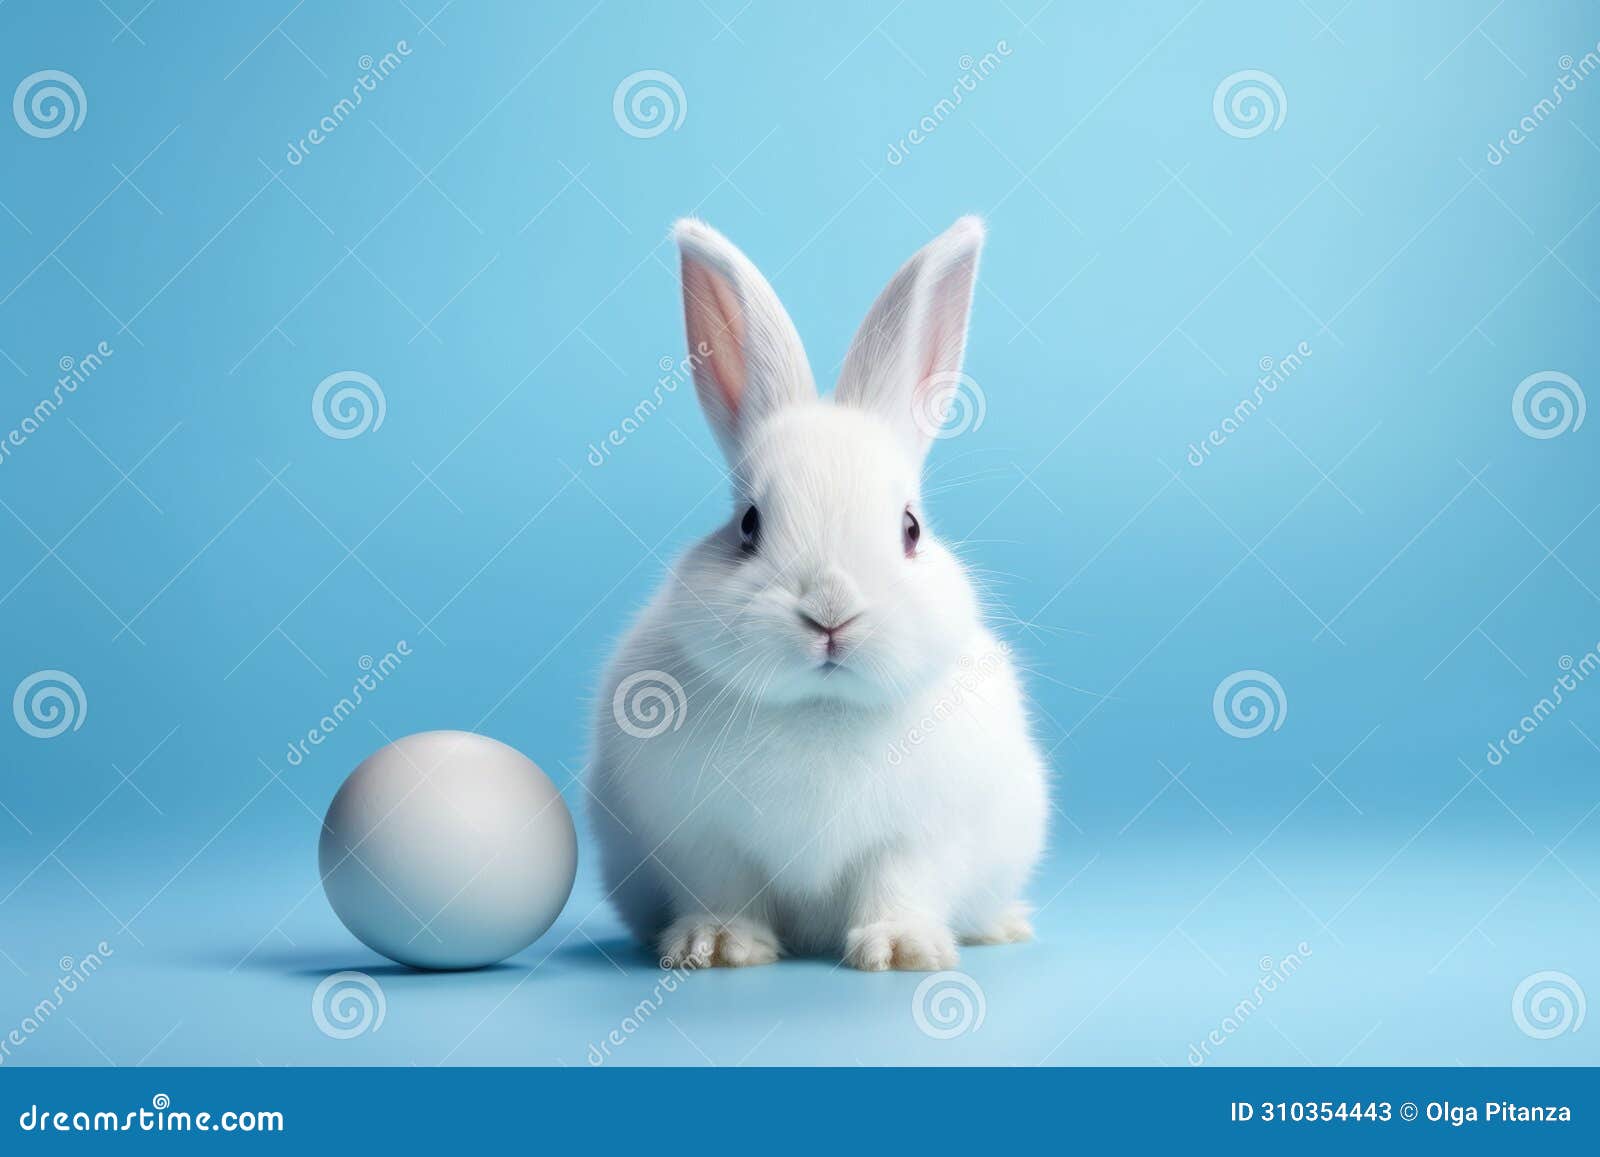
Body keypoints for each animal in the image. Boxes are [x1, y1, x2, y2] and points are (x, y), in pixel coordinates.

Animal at [588, 215, 1049, 971]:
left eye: (910, 528)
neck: (819, 708)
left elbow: (900, 883)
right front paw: (719, 944)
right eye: (748, 524)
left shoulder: (921, 835)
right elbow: (723, 887)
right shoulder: (701, 837)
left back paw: (1004, 925)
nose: (831, 613)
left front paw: (902, 949)